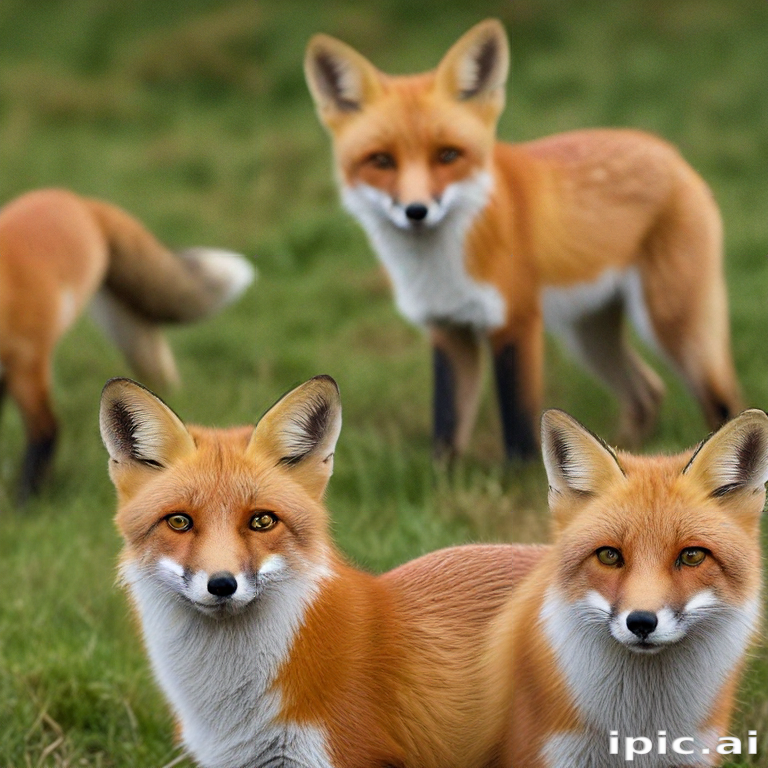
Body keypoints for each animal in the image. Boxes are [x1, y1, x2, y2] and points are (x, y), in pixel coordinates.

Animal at [304, 19, 742, 462]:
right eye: (381, 161)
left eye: (448, 155)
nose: (416, 211)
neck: (438, 268)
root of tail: (669, 150)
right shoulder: (447, 329)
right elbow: (445, 429)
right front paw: (442, 475)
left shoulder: (515, 322)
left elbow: (519, 431)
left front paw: (522, 477)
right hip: (585, 337)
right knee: (647, 394)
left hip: (671, 324)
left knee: (723, 403)